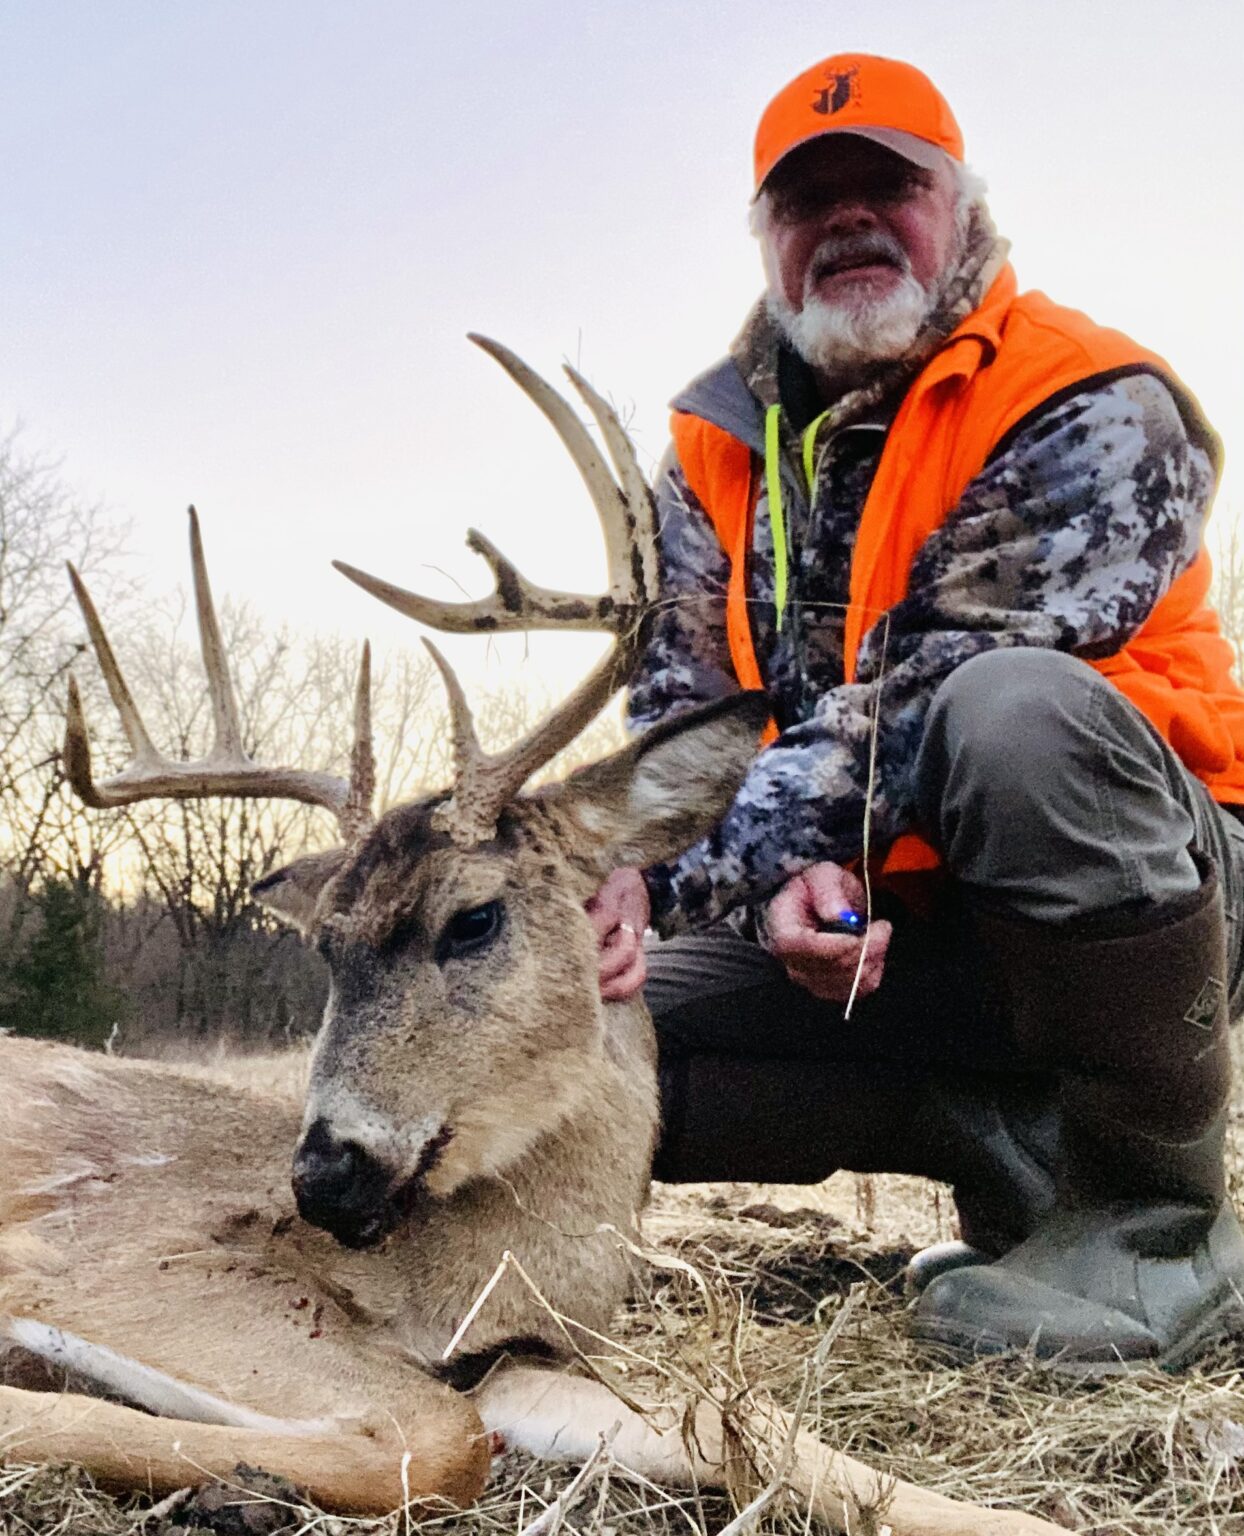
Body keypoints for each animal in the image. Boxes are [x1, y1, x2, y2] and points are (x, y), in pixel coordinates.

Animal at [0, 339, 1066, 1536]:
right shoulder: (114, 1247)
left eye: (473, 917)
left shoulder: (523, 1355)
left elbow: (755, 1430)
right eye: (326, 947)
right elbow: (435, 1439)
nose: (319, 1177)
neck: (484, 1276)